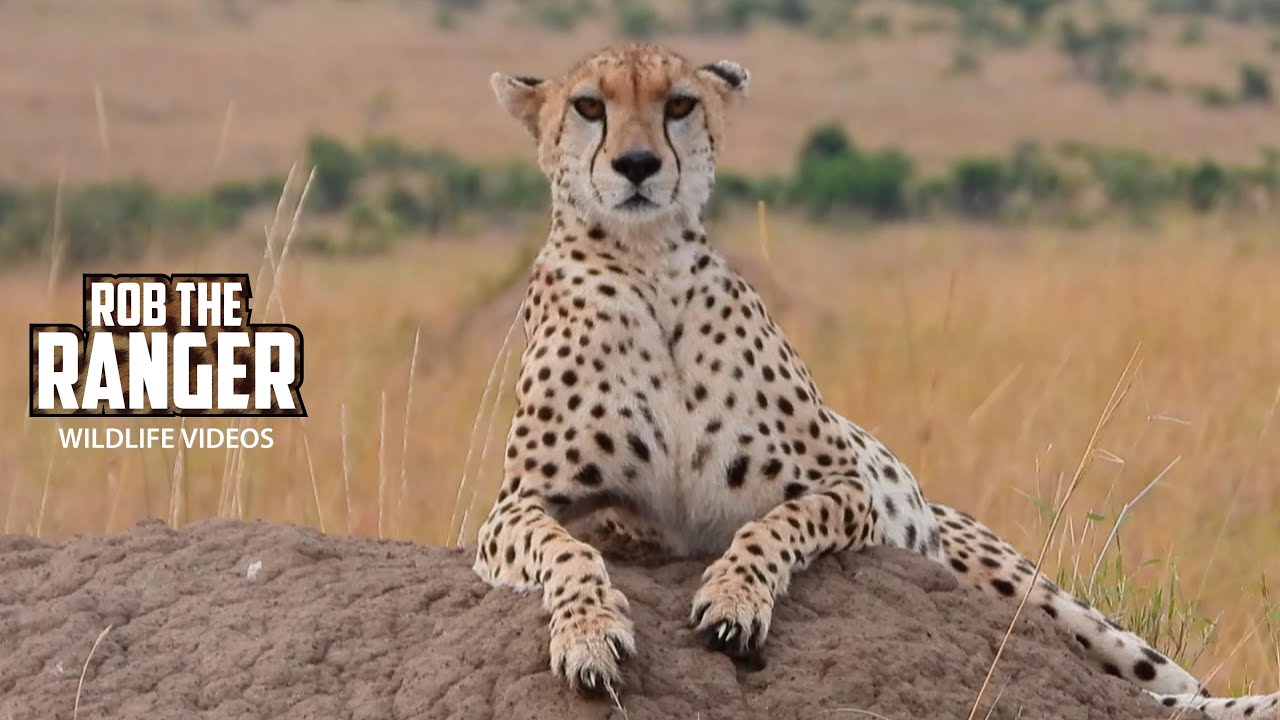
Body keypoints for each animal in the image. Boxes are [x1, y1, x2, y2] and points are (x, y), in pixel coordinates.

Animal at [471, 42, 1280, 719]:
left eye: (679, 104)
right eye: (588, 106)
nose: (638, 164)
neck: (646, 260)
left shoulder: (843, 484)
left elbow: (771, 527)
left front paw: (733, 599)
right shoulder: (514, 510)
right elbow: (569, 552)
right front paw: (589, 636)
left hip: (1035, 598)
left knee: (1167, 686)